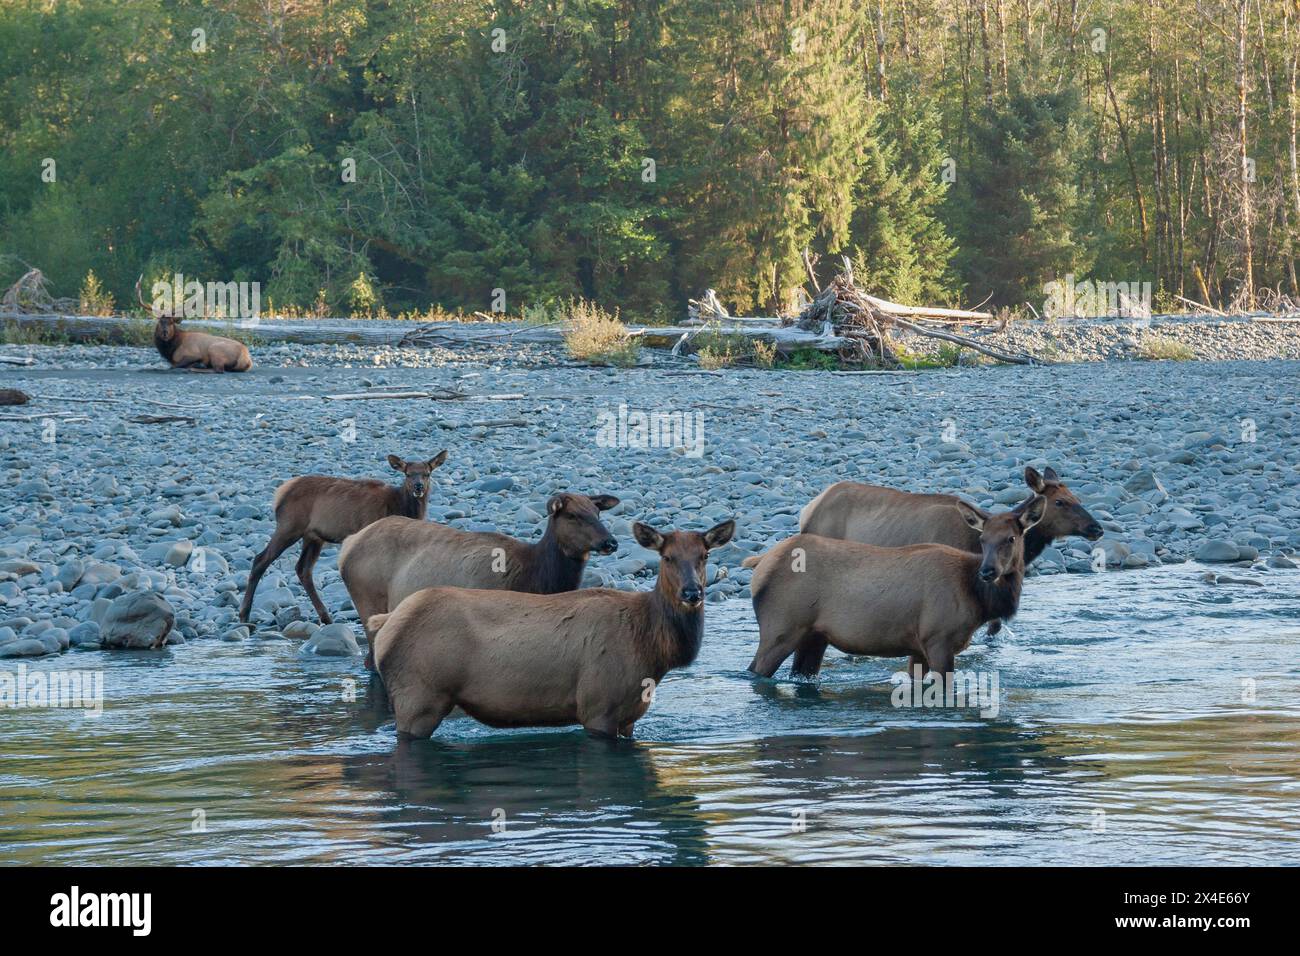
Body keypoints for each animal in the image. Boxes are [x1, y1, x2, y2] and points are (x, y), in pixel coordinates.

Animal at [238, 452, 448, 626]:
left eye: (427, 473)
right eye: (407, 473)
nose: (418, 487)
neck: (400, 508)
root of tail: (280, 494)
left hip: (313, 537)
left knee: (303, 569)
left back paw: (326, 617)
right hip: (289, 526)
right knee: (260, 559)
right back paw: (244, 614)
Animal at [338, 492, 620, 668]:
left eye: (597, 512)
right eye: (572, 515)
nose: (611, 542)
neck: (536, 579)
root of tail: (347, 546)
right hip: (368, 599)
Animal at [370, 518, 735, 740]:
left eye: (704, 555)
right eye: (667, 557)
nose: (692, 592)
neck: (651, 650)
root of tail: (388, 623)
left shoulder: (630, 716)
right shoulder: (597, 707)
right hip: (418, 696)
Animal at [747, 496, 1045, 681]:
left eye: (1011, 538)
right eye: (982, 539)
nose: (987, 571)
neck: (978, 602)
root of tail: (760, 564)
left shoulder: (918, 646)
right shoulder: (938, 638)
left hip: (814, 636)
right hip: (781, 628)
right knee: (755, 669)